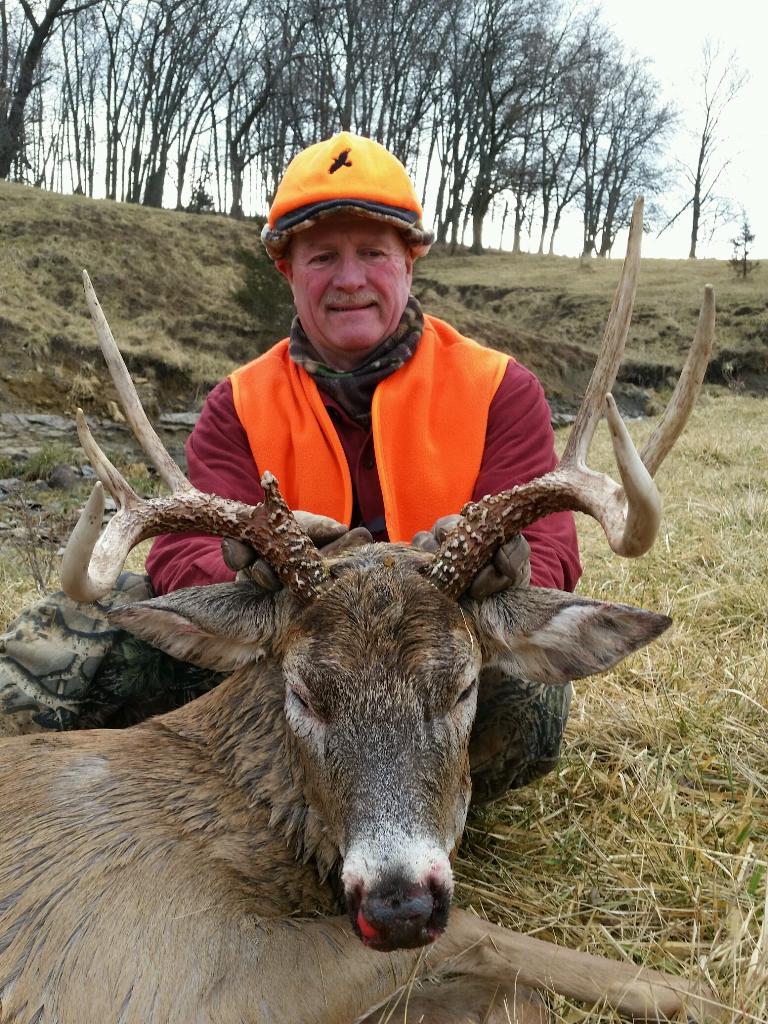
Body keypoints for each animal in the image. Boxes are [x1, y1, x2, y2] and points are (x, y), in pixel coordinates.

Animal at [0, 198, 725, 1024]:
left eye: (465, 688)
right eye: (302, 693)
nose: (399, 905)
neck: (242, 805)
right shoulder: (151, 973)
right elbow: (494, 944)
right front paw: (709, 997)